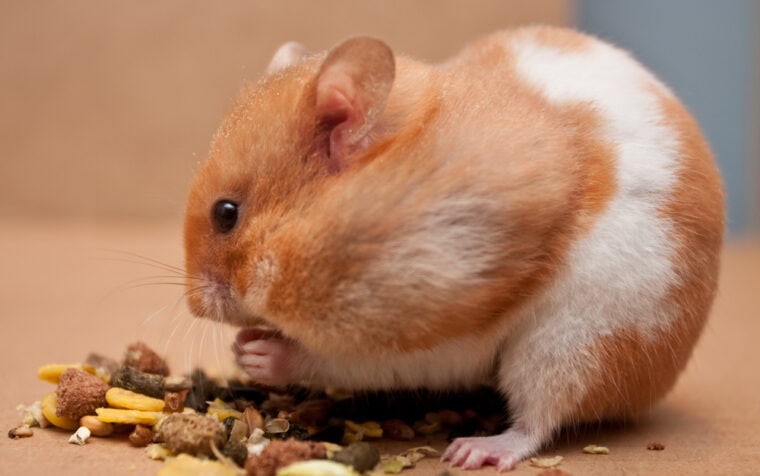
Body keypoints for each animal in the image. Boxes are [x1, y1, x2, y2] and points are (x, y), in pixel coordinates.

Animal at [183, 26, 724, 471]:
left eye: (226, 213)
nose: (194, 307)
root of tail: (658, 382)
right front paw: (241, 345)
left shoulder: (437, 326)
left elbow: (351, 361)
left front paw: (255, 352)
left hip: (572, 345)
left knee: (540, 418)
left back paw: (474, 451)